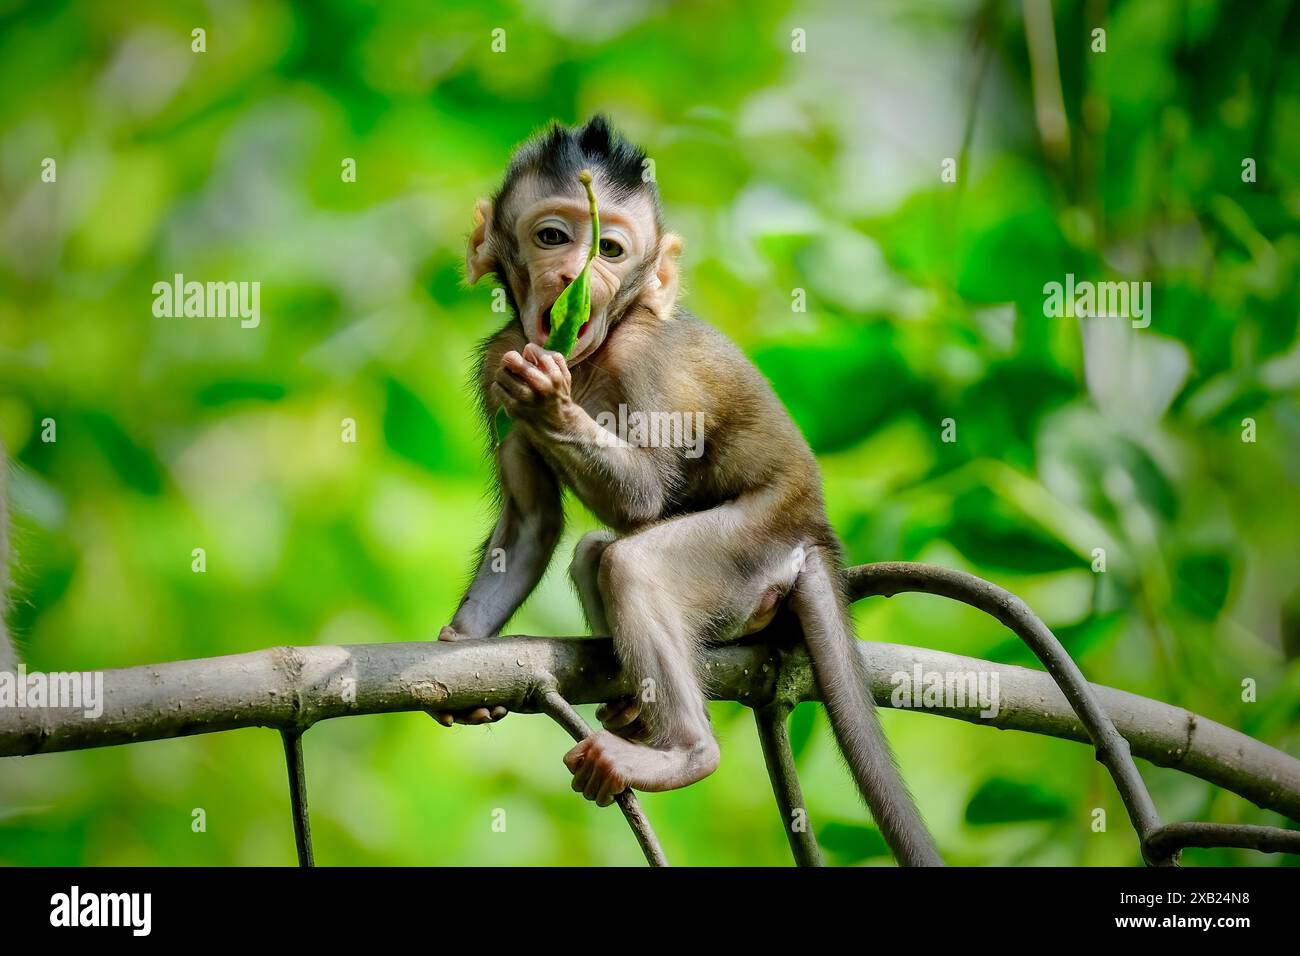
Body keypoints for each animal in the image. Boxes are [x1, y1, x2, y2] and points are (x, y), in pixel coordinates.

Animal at [434, 116, 942, 866]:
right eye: (552, 236)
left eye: (610, 249)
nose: (577, 273)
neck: (594, 352)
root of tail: (816, 534)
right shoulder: (497, 358)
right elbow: (530, 528)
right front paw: (463, 645)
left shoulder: (645, 357)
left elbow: (642, 498)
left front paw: (550, 402)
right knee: (592, 554)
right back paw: (636, 717)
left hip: (758, 538)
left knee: (632, 563)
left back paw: (681, 753)